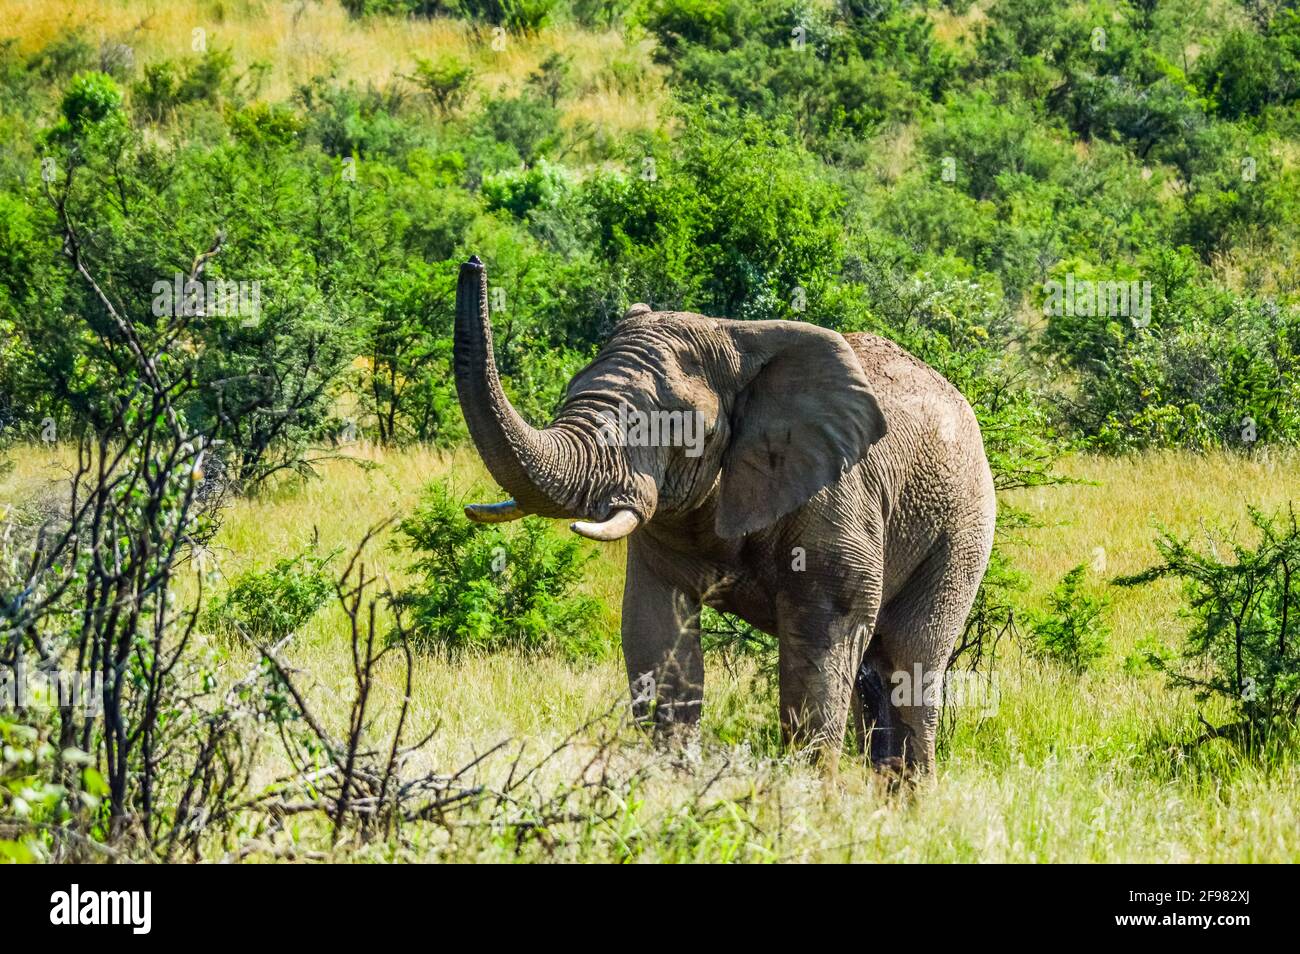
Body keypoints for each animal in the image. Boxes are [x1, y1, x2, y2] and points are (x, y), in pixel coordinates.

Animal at [453, 255, 996, 773]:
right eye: (571, 388)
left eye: (675, 423)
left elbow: (822, 646)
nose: (473, 263)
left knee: (908, 663)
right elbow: (656, 635)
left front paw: (807, 793)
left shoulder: (840, 499)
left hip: (963, 528)